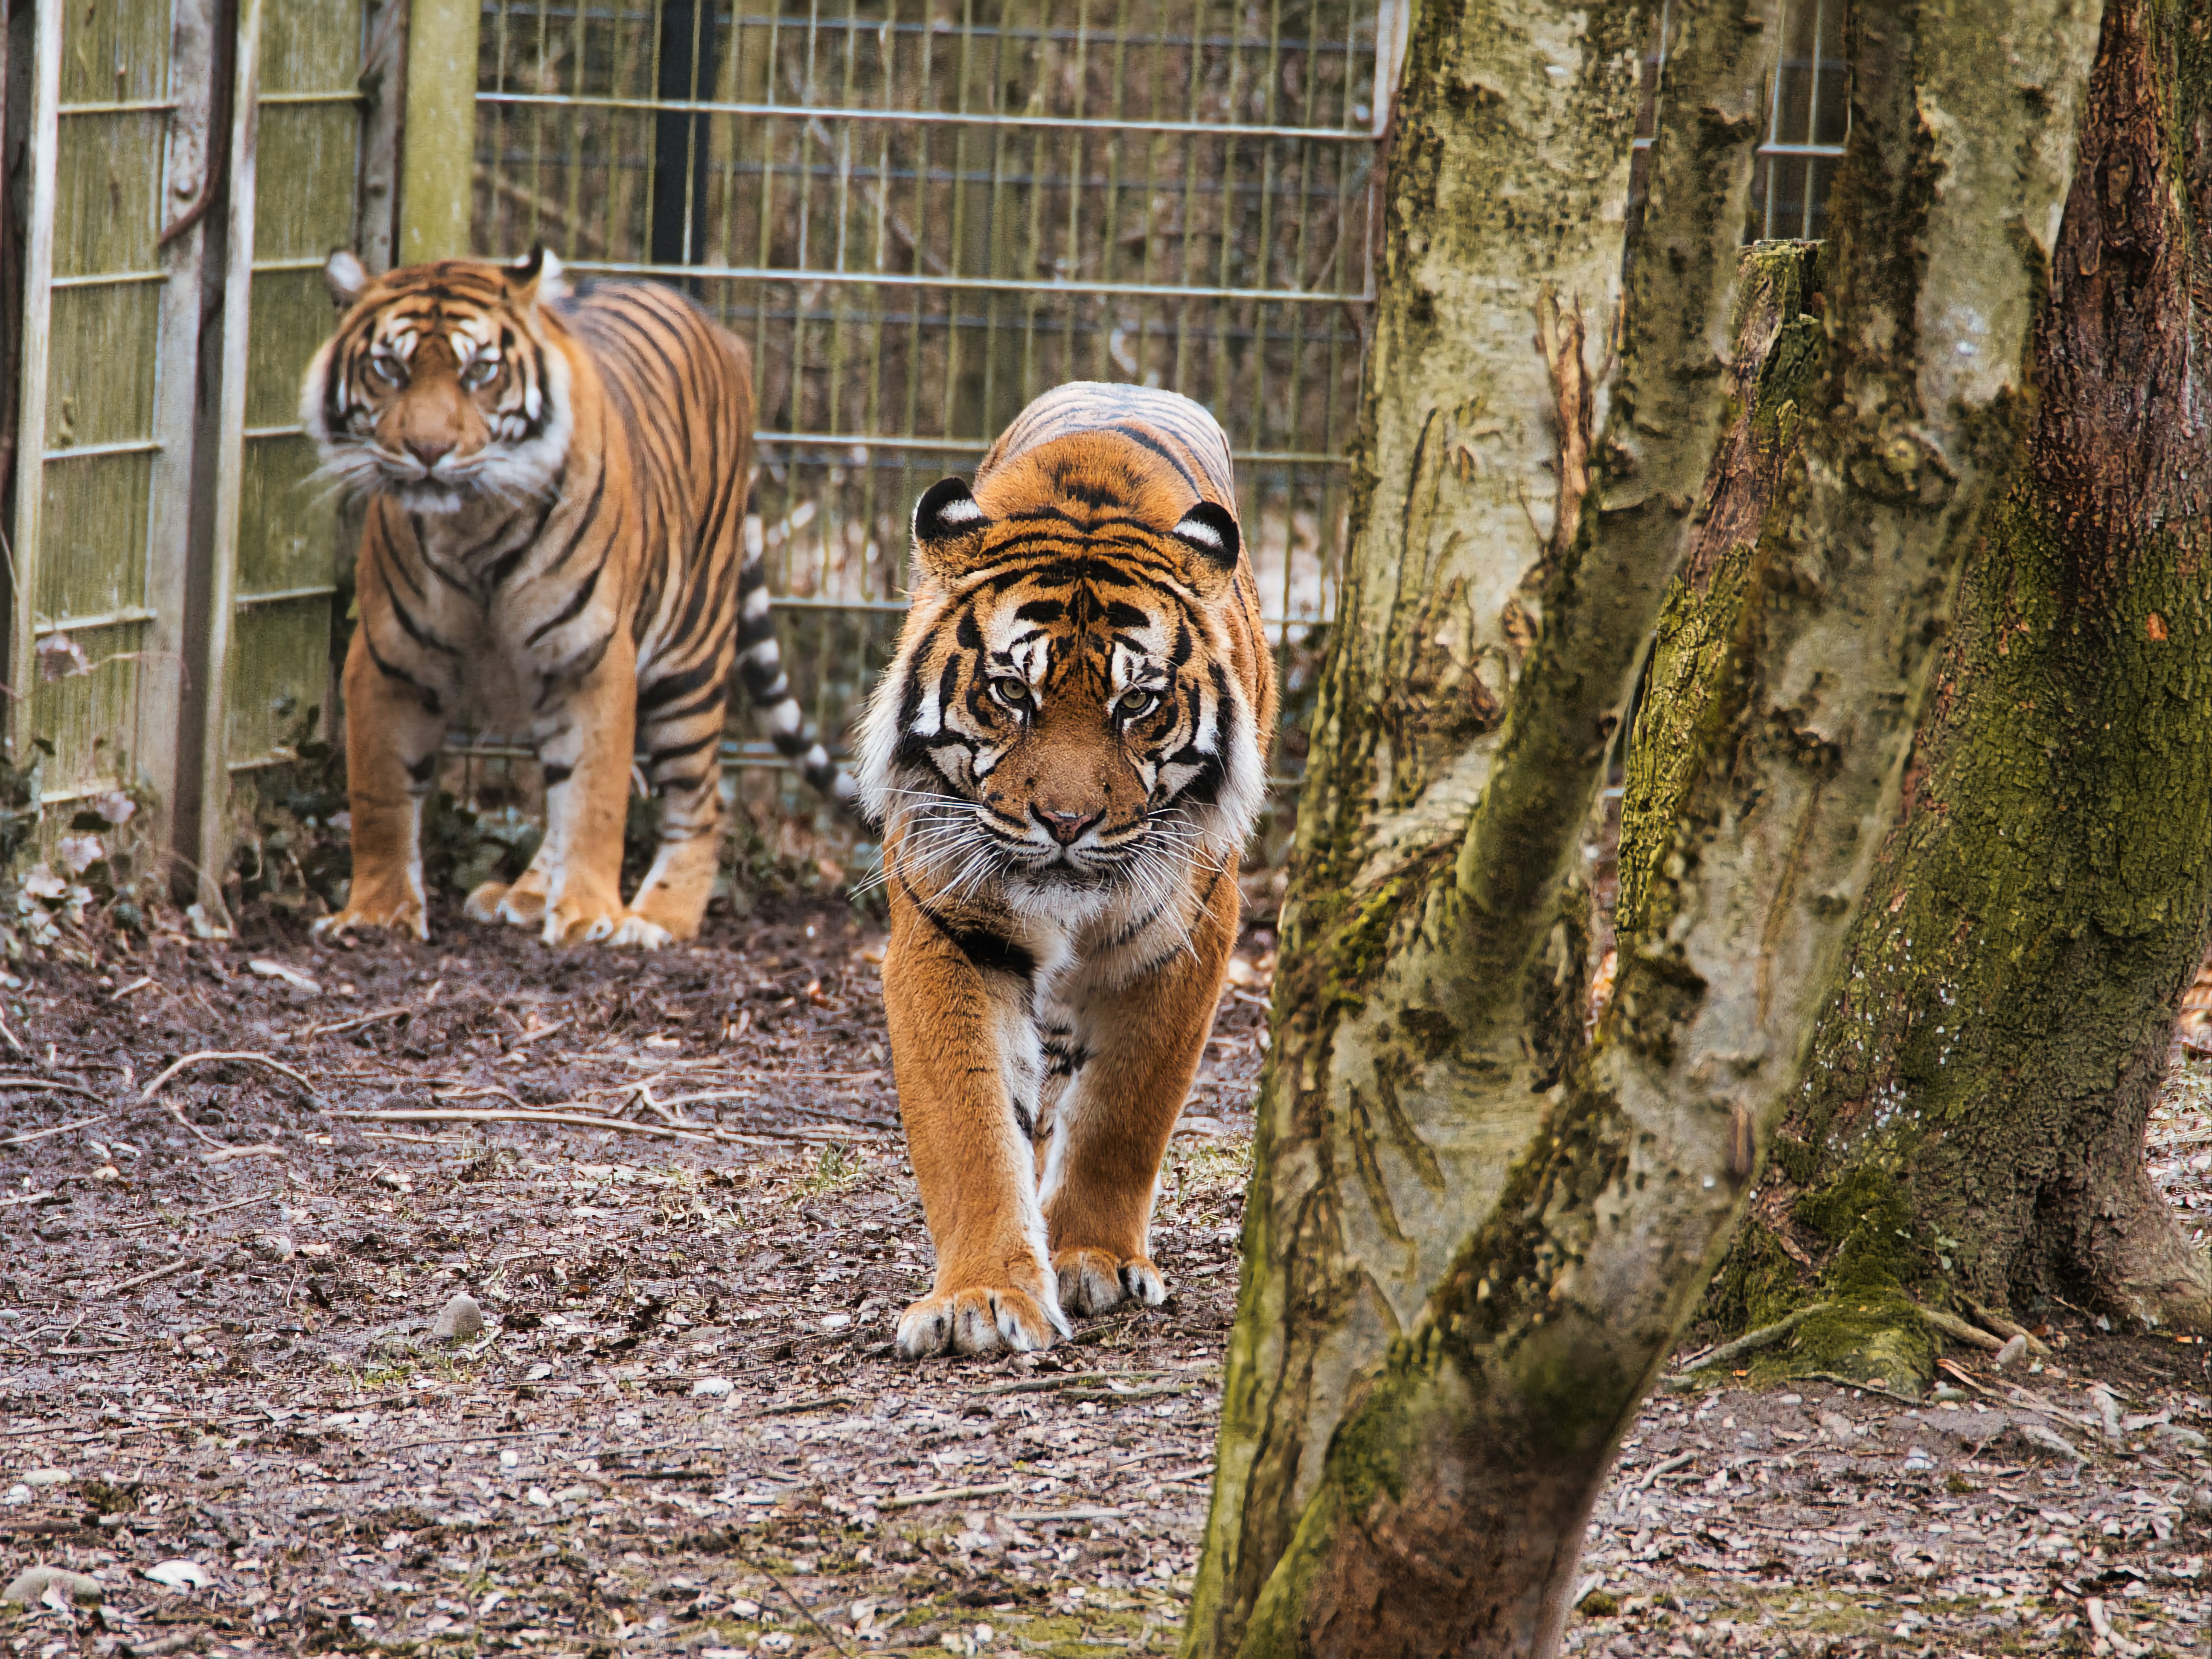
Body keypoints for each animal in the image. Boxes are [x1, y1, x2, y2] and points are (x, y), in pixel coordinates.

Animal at [299, 247, 849, 949]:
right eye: (388, 369)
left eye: (480, 372)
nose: (427, 451)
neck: (472, 525)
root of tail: (711, 321)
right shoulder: (388, 659)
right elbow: (381, 798)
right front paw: (378, 910)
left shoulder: (590, 658)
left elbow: (596, 800)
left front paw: (589, 916)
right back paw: (531, 894)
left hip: (690, 656)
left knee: (702, 800)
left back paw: (658, 917)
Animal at [858, 382, 1277, 1357]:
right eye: (1013, 692)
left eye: (1138, 702)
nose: (1065, 821)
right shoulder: (952, 927)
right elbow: (970, 1126)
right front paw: (981, 1297)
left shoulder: (1185, 935)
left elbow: (1125, 1108)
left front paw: (1091, 1258)